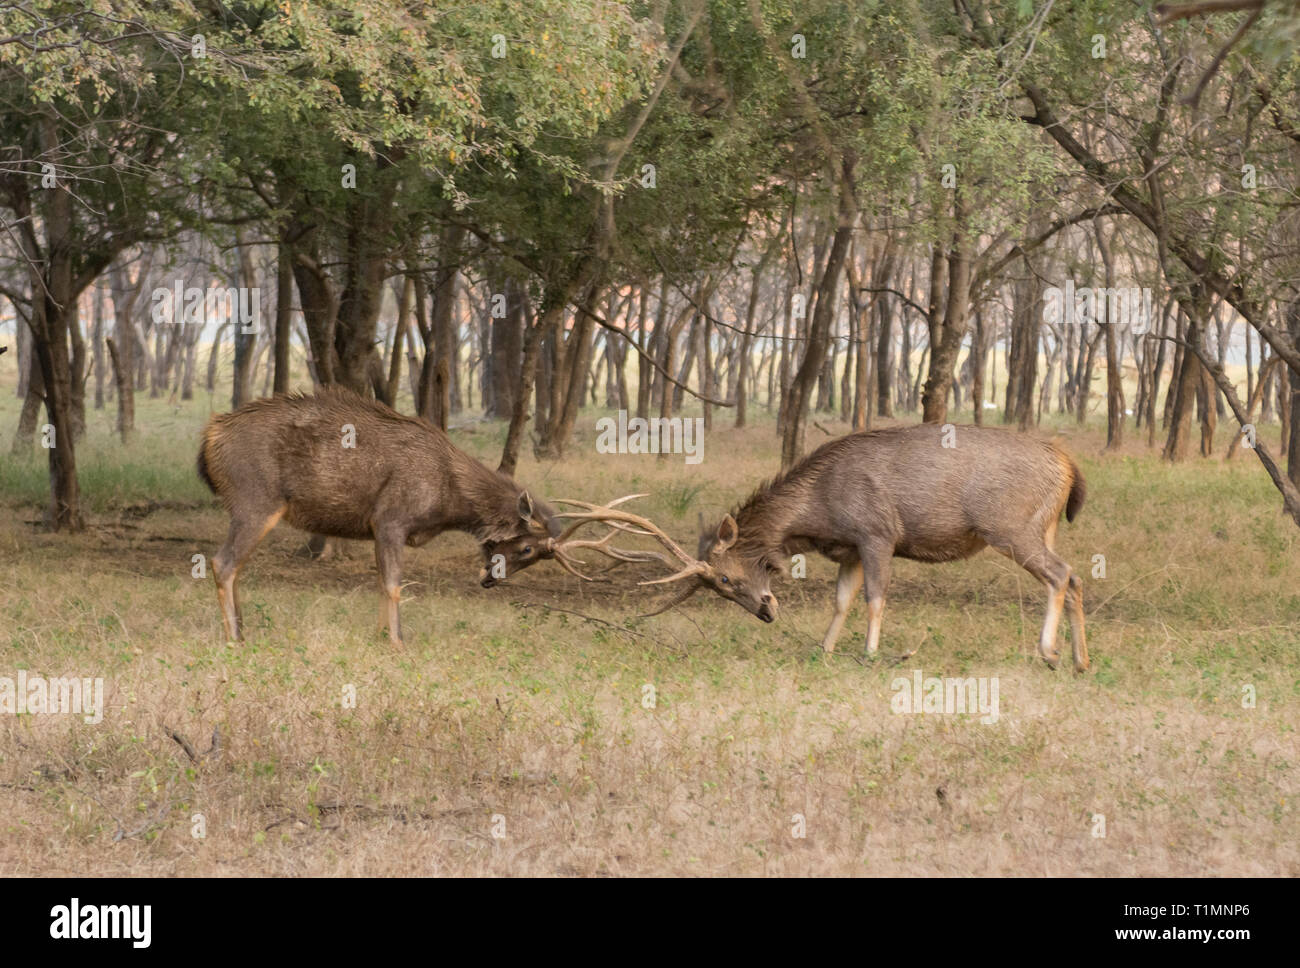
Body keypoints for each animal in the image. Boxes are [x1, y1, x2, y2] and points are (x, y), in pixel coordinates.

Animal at [197, 386, 644, 646]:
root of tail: (210, 438)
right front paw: (397, 641)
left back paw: (244, 627)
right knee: (222, 562)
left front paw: (382, 635)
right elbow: (394, 584)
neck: (447, 502)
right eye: (528, 548)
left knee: (234, 565)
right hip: (257, 499)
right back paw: (234, 637)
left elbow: (382, 583)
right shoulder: (390, 519)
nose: (490, 580)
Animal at [564, 424, 1090, 673]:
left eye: (726, 578)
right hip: (1043, 527)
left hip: (1011, 525)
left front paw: (874, 653)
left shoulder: (878, 533)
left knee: (1060, 574)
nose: (766, 612)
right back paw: (1080, 659)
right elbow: (841, 601)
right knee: (1076, 576)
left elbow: (875, 598)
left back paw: (1049, 652)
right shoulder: (850, 549)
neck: (817, 513)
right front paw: (824, 649)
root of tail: (1068, 465)